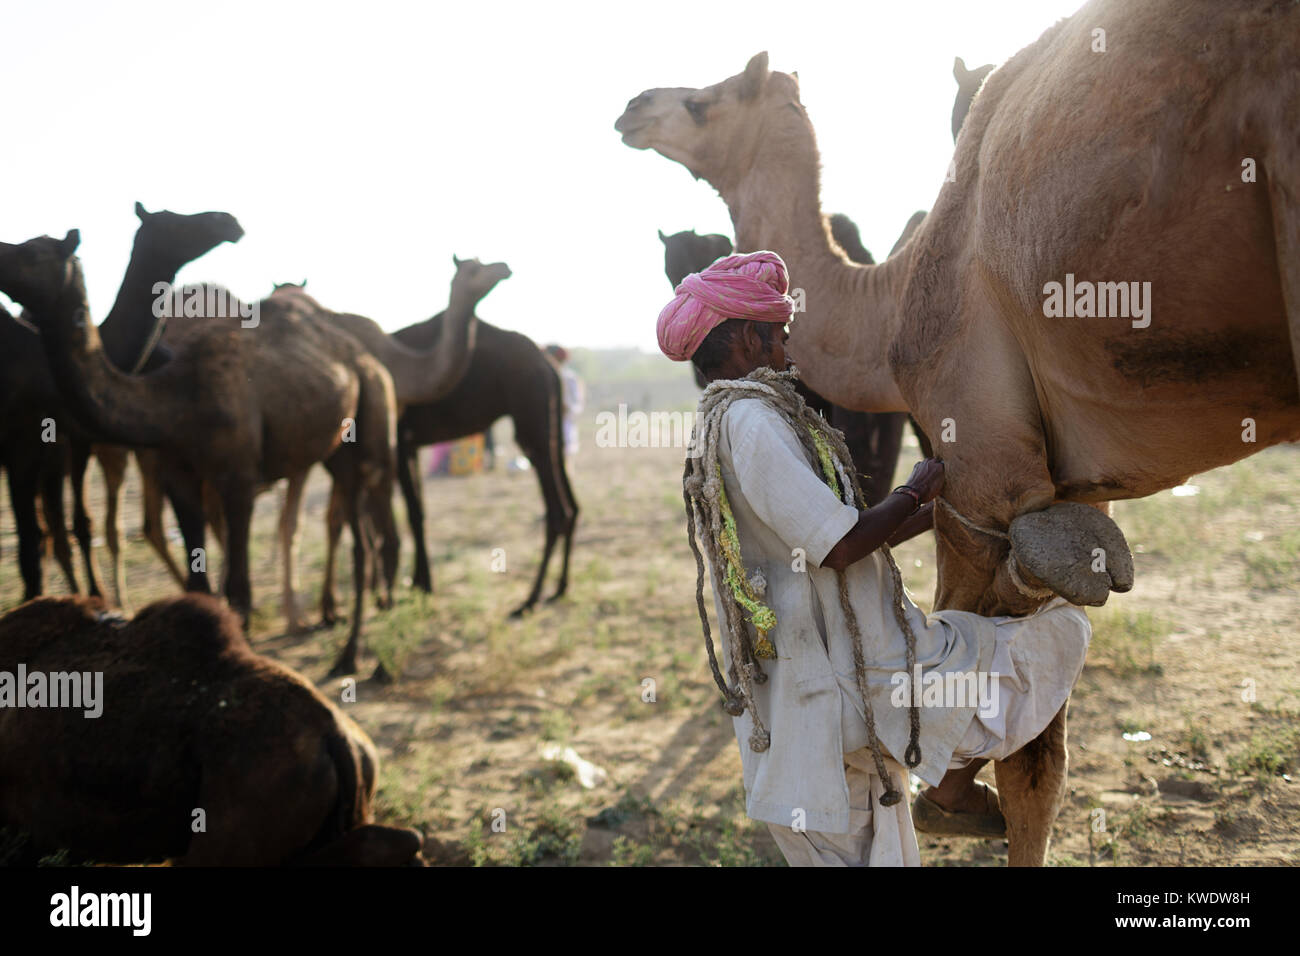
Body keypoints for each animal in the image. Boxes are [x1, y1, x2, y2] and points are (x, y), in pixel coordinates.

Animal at [0, 231, 401, 685]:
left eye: (33, 252)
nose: (1, 258)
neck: (176, 398)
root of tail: (364, 358)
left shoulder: (238, 477)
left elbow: (238, 589)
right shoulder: (179, 475)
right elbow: (199, 583)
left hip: (373, 418)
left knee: (372, 537)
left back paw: (361, 657)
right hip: (337, 452)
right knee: (362, 542)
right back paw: (348, 654)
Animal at [391, 287, 579, 617]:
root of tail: (546, 363)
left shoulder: (400, 441)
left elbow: (414, 513)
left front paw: (424, 586)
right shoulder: (410, 446)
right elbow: (418, 510)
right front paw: (416, 582)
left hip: (530, 417)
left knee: (559, 512)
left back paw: (530, 599)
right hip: (551, 425)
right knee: (572, 506)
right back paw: (559, 588)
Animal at [616, 5, 1300, 865]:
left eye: (704, 101)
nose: (633, 107)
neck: (893, 298)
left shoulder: (984, 469)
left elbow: (1030, 754)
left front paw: (952, 802)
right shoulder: (1069, 486)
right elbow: (1051, 708)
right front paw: (958, 802)